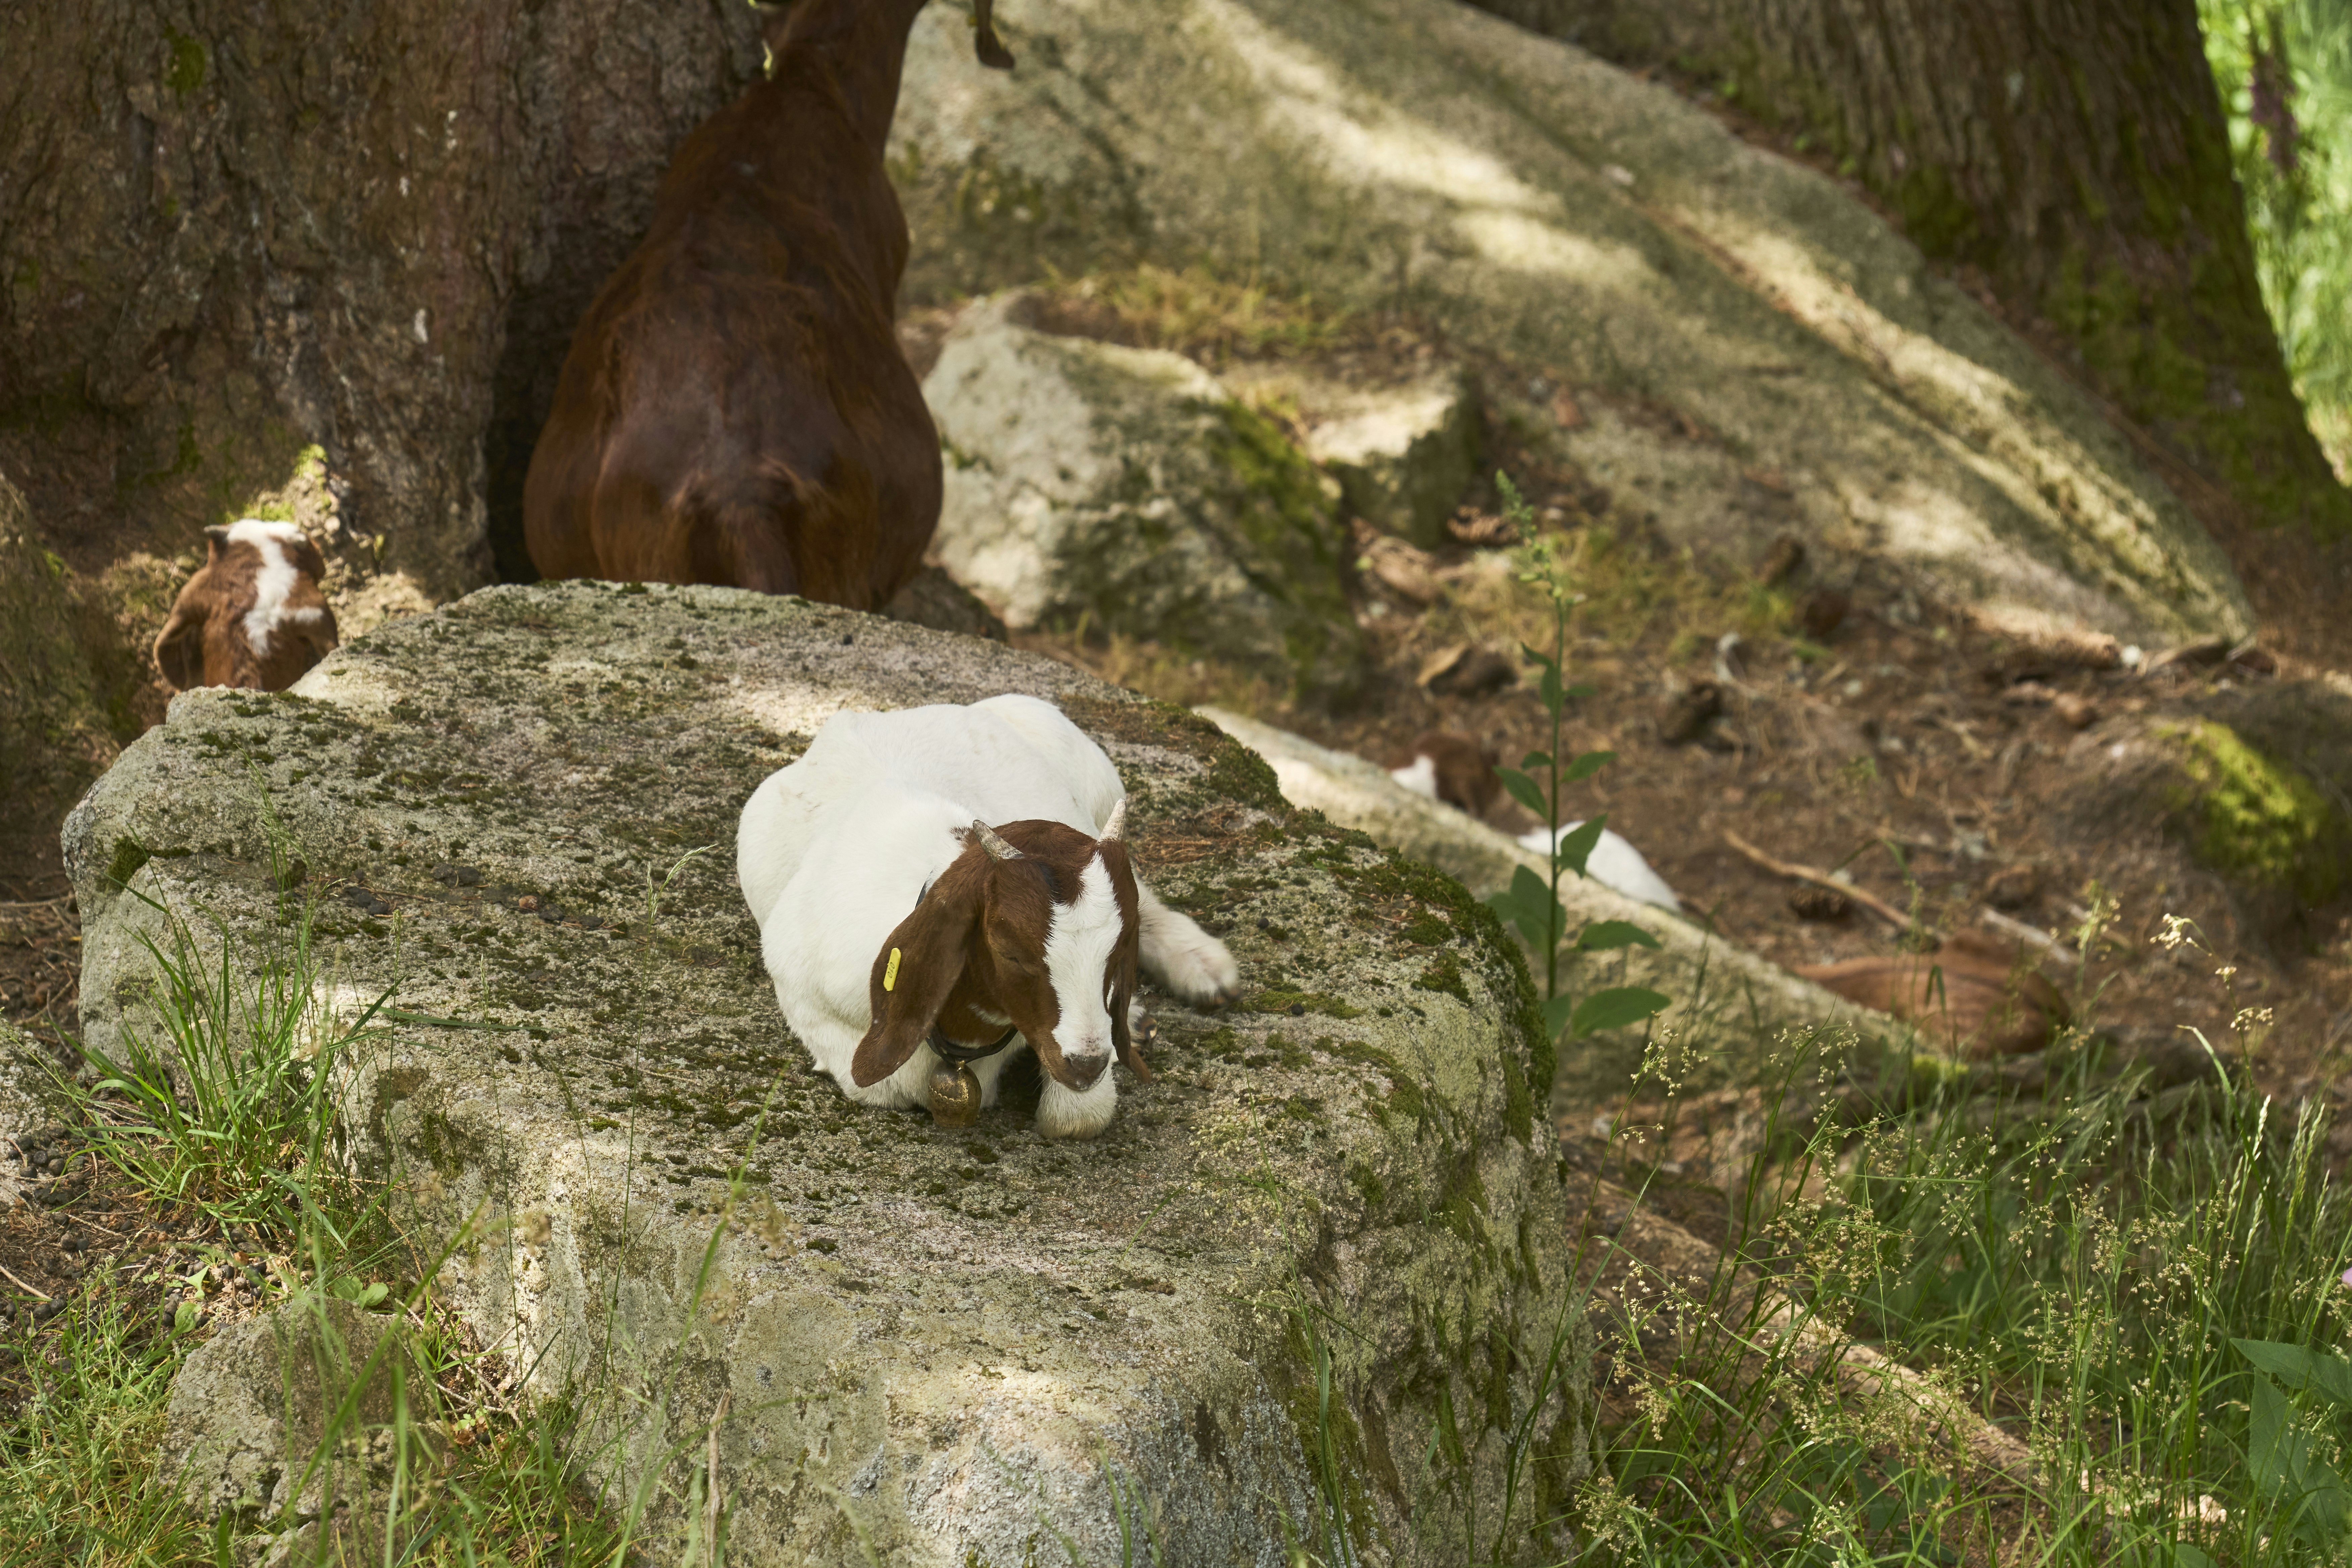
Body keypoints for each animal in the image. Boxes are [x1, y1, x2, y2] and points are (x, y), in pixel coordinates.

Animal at [739, 694, 1239, 1139]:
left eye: (1119, 954)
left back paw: (1203, 974)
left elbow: (1078, 1119)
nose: (1088, 1063)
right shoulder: (805, 994)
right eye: (1011, 952)